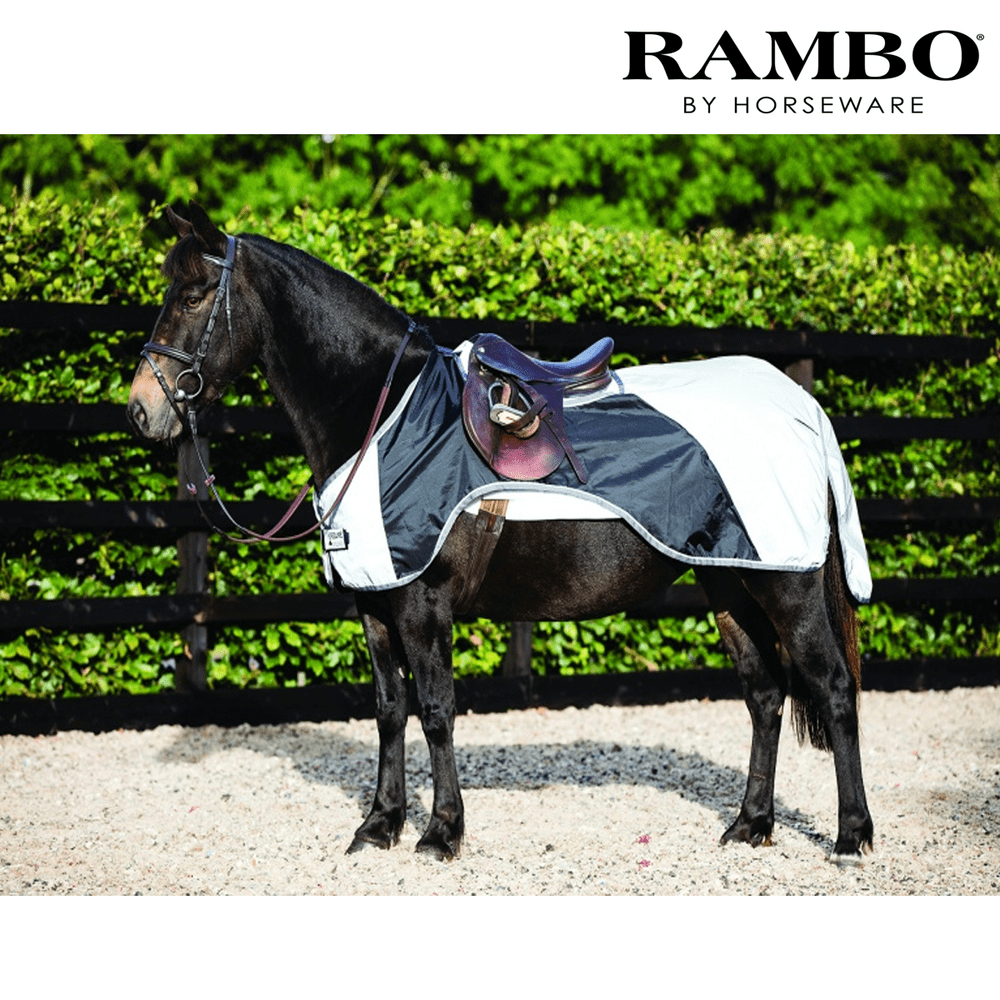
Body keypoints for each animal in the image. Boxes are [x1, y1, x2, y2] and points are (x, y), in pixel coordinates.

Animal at [127, 202, 874, 862]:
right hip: (731, 582)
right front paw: (379, 826)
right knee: (765, 694)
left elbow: (435, 710)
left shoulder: (422, 604)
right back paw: (750, 826)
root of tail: (800, 404)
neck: (384, 421)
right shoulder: (374, 605)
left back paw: (851, 837)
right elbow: (389, 710)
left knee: (833, 688)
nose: (142, 409)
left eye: (192, 296)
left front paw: (440, 834)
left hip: (787, 585)